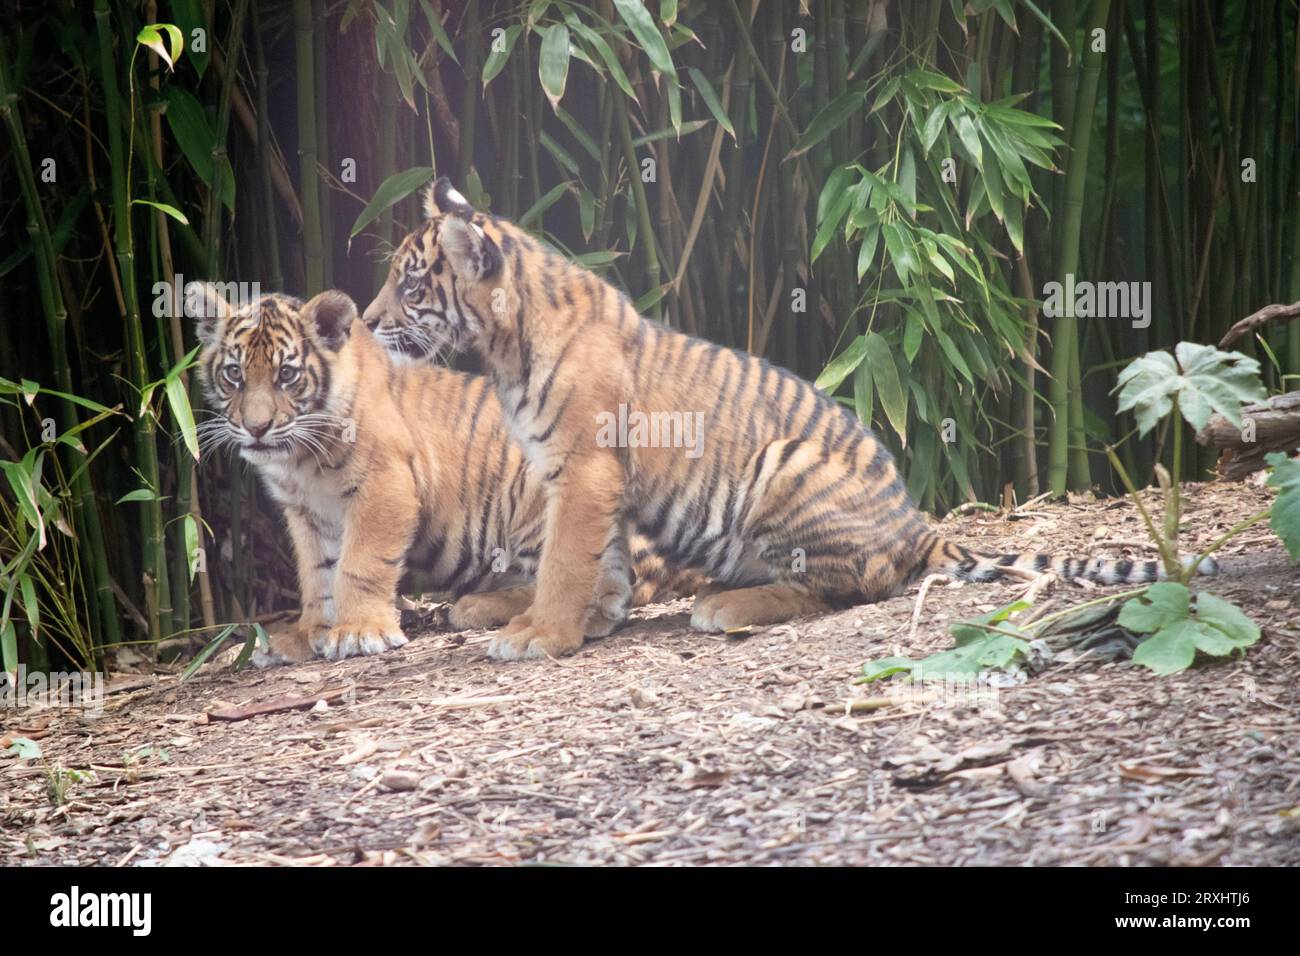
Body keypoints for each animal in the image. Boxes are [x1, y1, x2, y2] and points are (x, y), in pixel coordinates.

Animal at [192, 286, 695, 663]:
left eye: (287, 374)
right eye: (234, 374)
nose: (256, 428)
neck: (297, 459)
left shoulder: (384, 485)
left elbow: (359, 565)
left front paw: (358, 631)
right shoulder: (306, 513)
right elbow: (317, 577)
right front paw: (308, 633)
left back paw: (476, 607)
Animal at [361, 178, 1215, 661]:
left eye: (410, 284)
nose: (366, 321)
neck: (503, 346)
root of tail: (916, 526)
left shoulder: (586, 471)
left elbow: (565, 562)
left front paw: (539, 635)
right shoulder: (589, 481)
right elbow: (604, 562)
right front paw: (595, 619)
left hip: (788, 467)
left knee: (842, 589)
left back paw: (724, 607)